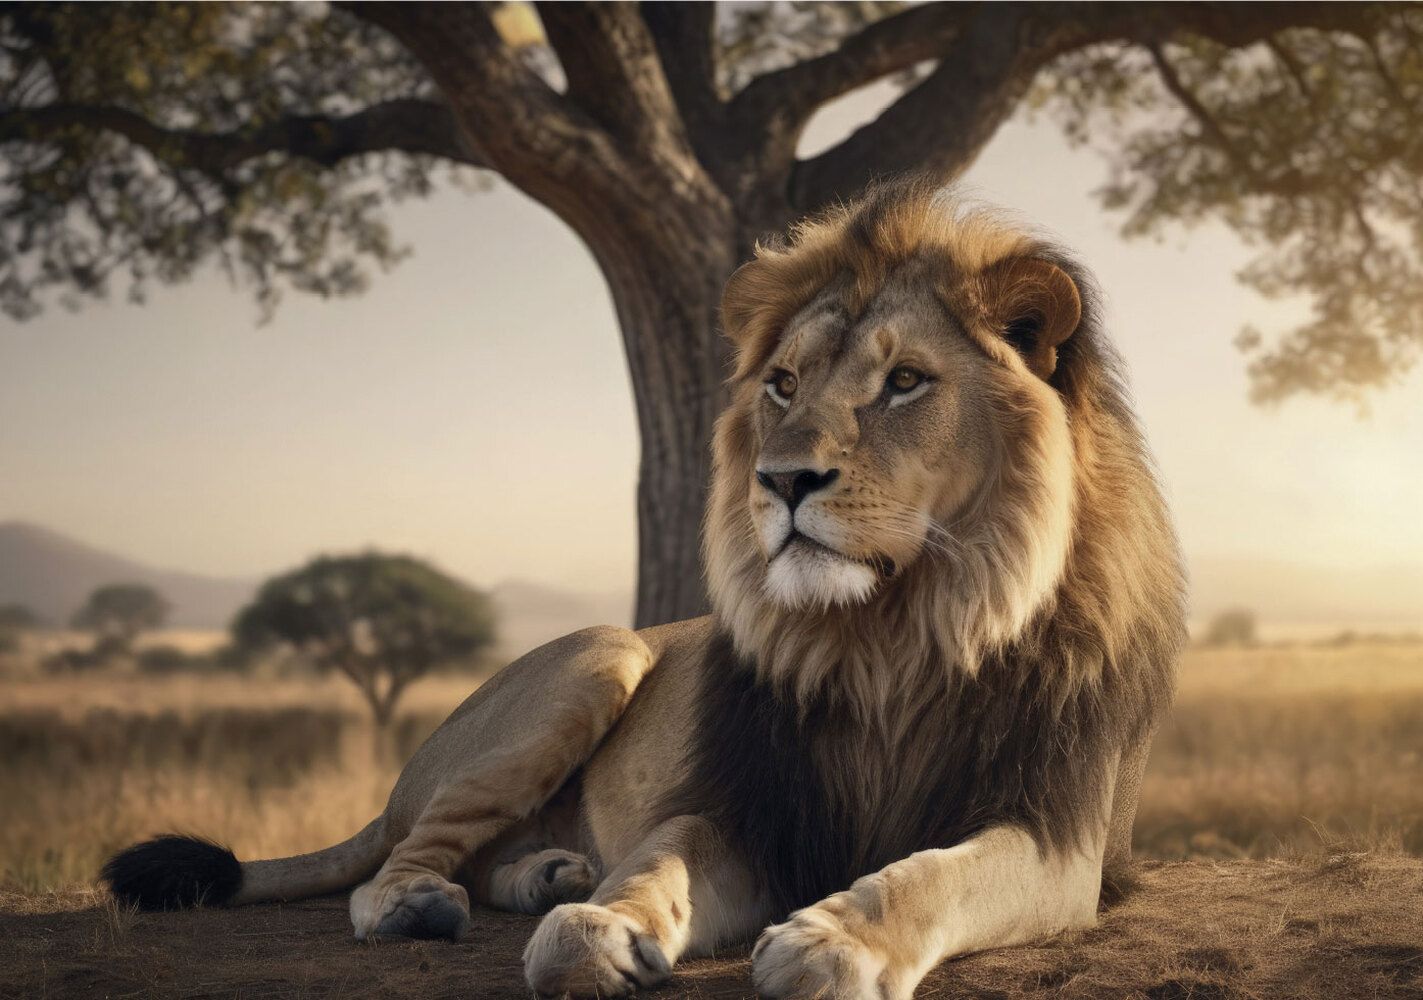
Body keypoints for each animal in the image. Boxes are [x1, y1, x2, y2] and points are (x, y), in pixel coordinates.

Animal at [103, 179, 1185, 999]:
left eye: (906, 382)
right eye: (783, 384)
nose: (782, 480)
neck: (888, 635)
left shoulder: (1058, 838)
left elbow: (926, 878)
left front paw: (833, 940)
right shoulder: (747, 809)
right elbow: (658, 860)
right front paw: (598, 925)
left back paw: (545, 872)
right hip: (600, 657)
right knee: (401, 861)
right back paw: (438, 899)